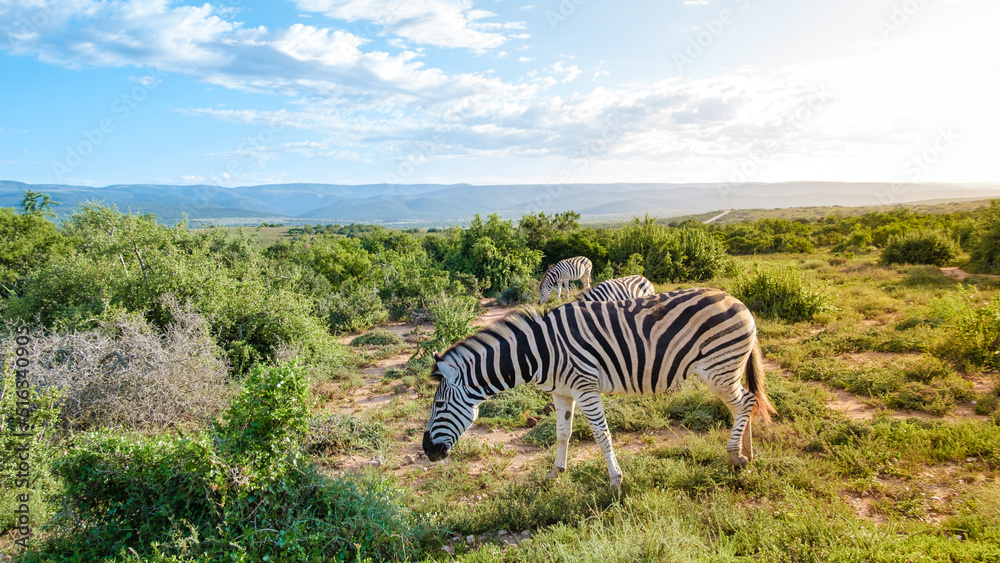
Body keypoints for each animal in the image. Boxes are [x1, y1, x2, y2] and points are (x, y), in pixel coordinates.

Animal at [423, 288, 776, 489]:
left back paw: (735, 456)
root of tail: (738, 301)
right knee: (744, 404)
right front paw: (555, 473)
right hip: (723, 370)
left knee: (745, 403)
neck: (539, 353)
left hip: (718, 368)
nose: (427, 451)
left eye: (438, 406)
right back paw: (747, 453)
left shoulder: (586, 388)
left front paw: (616, 481)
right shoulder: (562, 393)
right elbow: (562, 434)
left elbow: (601, 434)